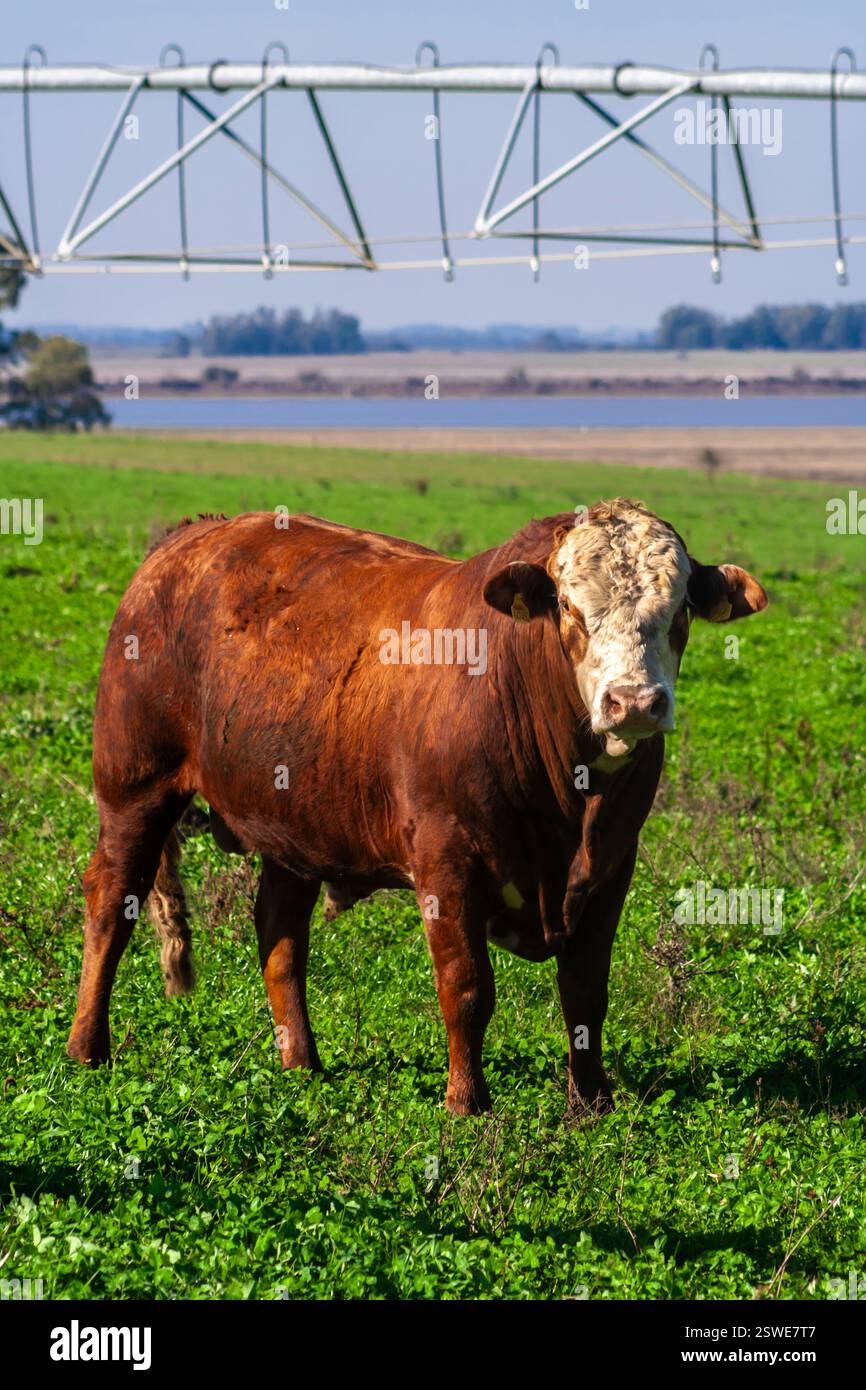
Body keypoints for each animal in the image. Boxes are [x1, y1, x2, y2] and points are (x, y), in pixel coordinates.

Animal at [67, 499, 767, 1115]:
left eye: (680, 611)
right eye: (569, 607)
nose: (635, 702)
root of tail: (189, 536)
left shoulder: (611, 867)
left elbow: (586, 991)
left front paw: (593, 1103)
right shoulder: (447, 861)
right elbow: (466, 988)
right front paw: (466, 1103)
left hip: (291, 820)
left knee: (280, 931)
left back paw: (302, 1062)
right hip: (135, 788)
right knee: (111, 901)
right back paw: (87, 1049)